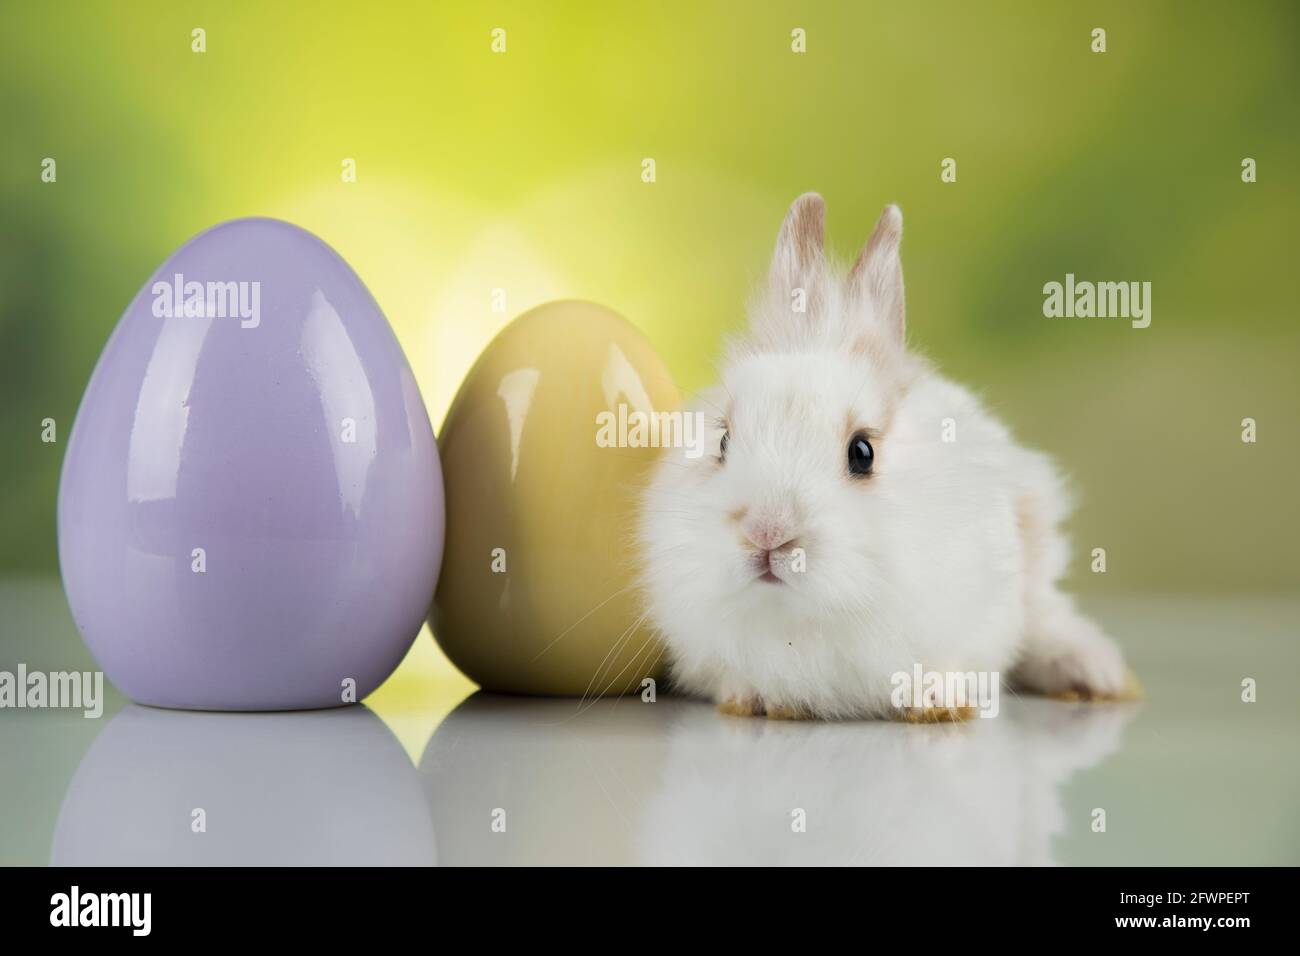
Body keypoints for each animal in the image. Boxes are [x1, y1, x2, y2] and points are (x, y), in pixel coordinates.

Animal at [636, 193, 1134, 720]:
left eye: (862, 452)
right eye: (724, 442)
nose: (767, 533)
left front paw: (937, 701)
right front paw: (753, 699)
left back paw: (1095, 675)